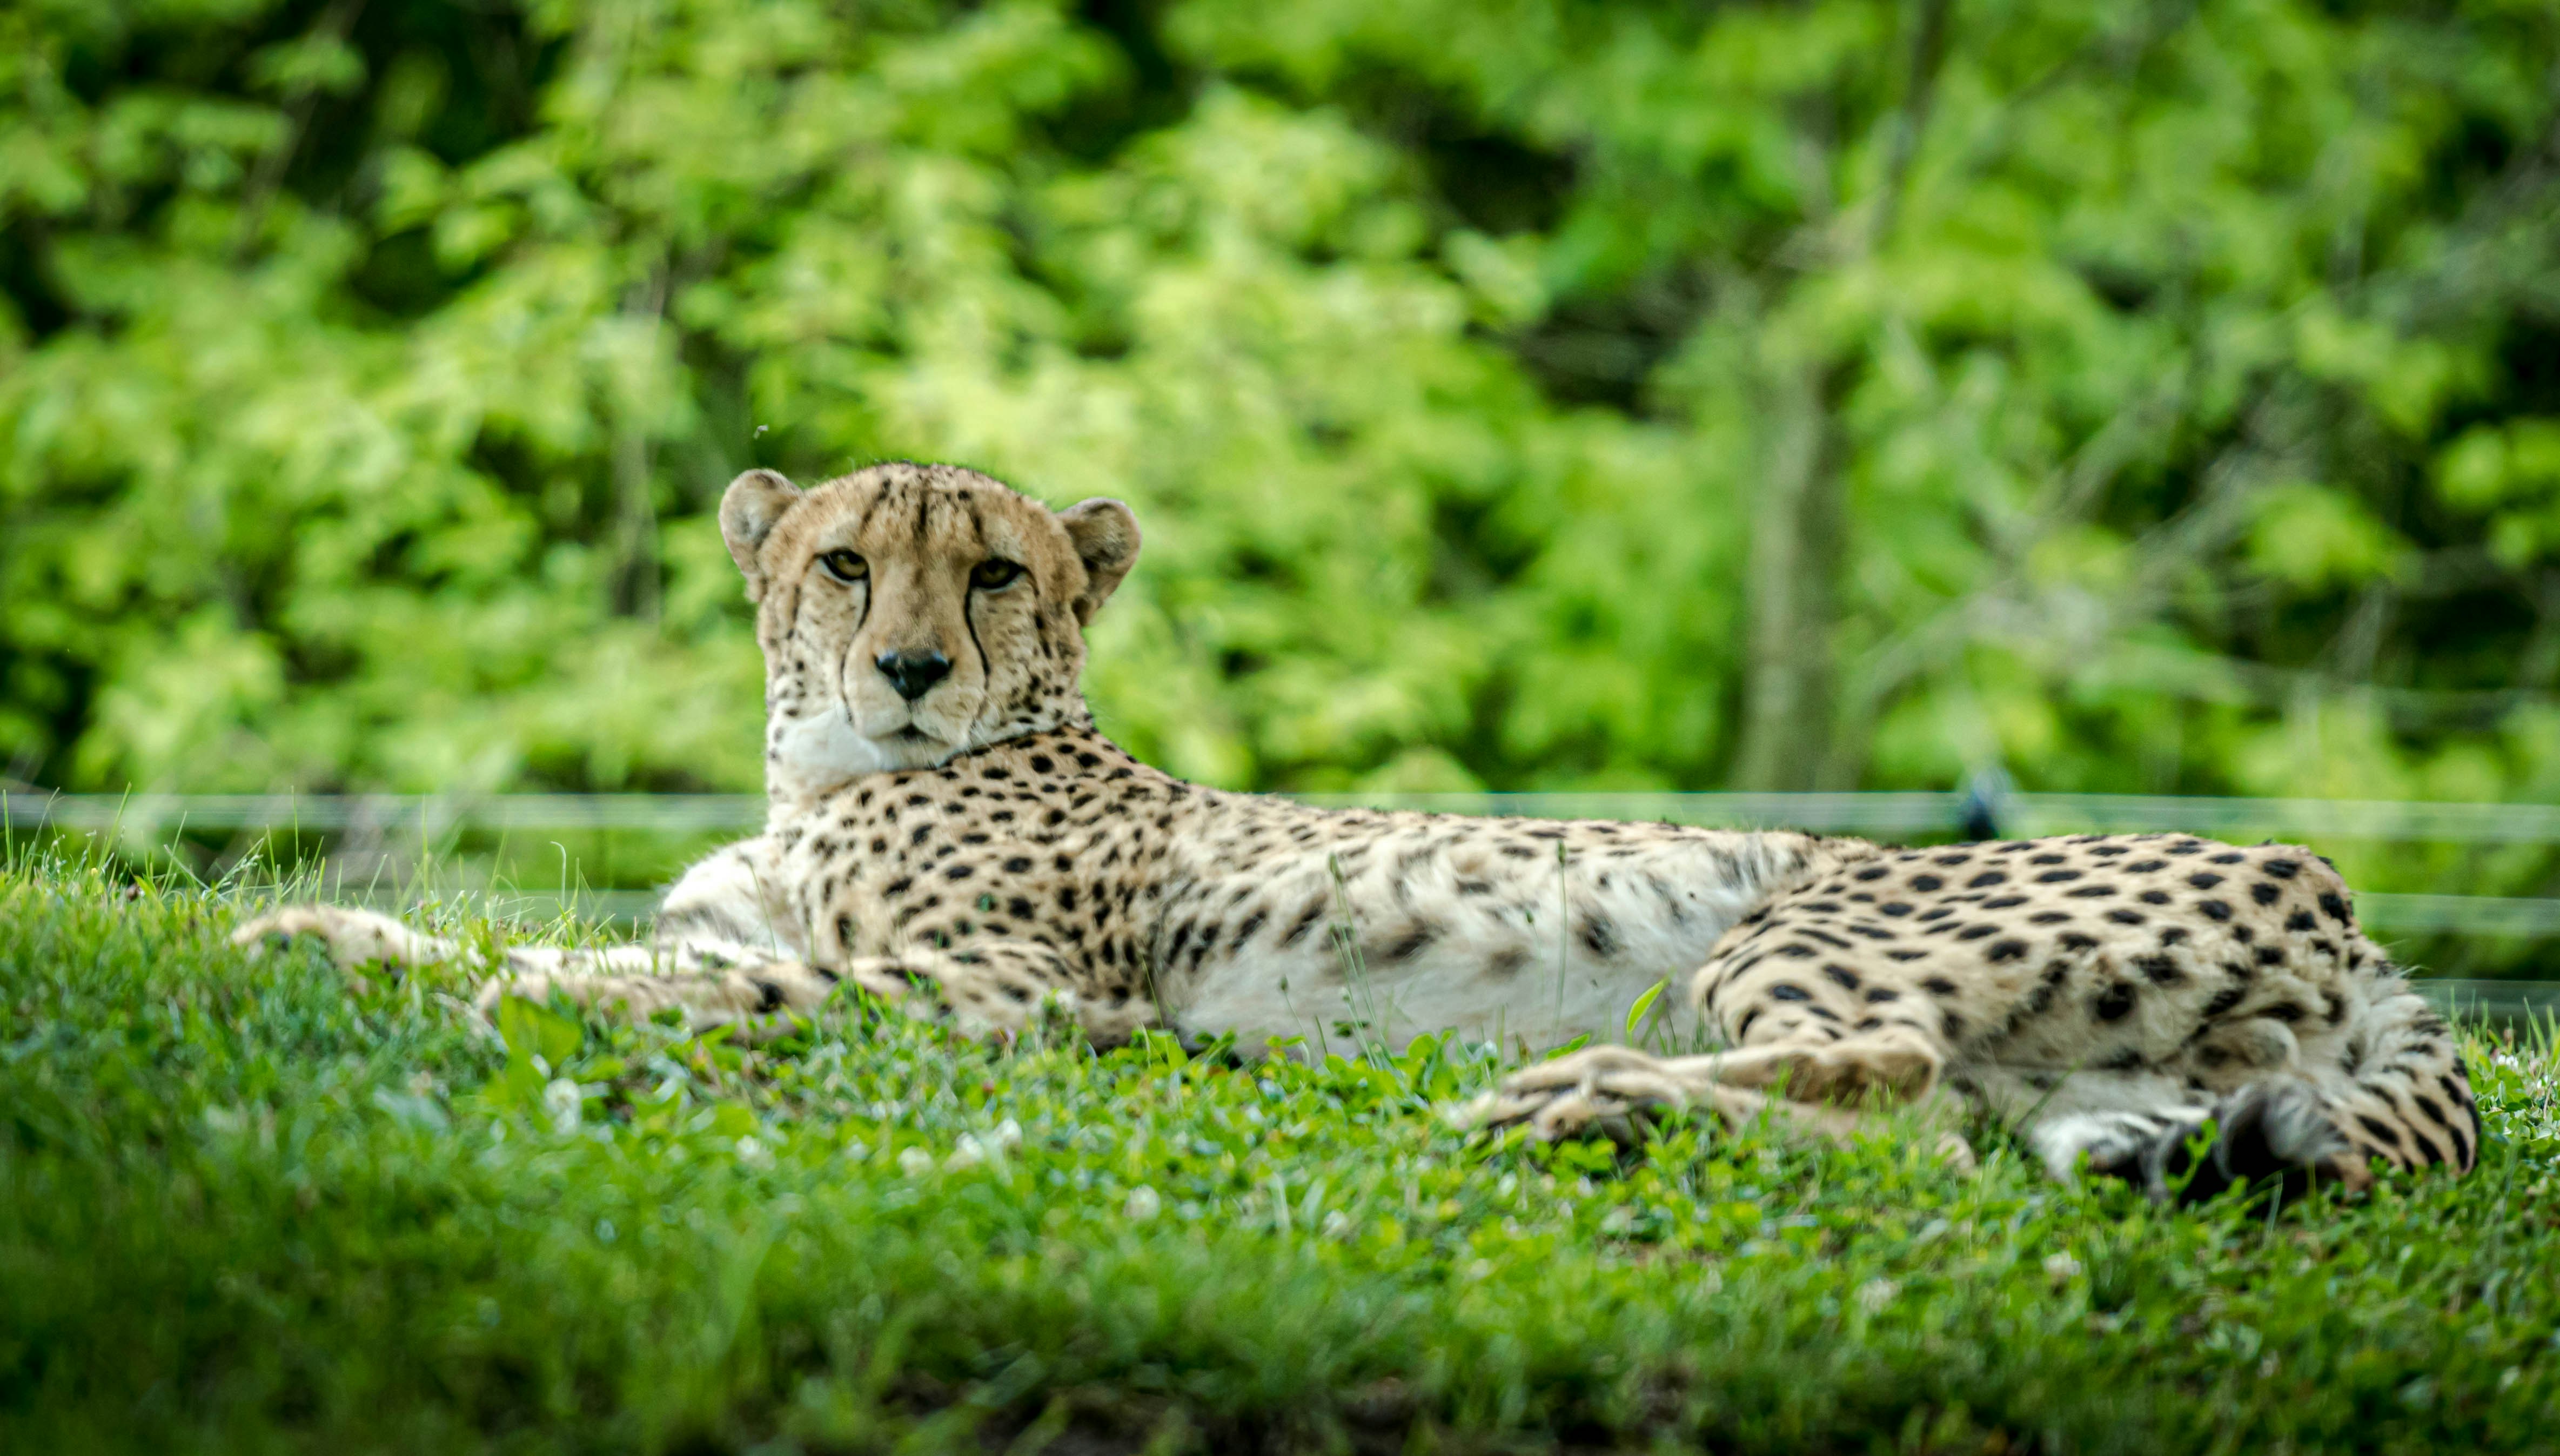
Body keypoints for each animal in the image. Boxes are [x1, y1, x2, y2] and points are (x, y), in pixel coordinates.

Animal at [235, 462, 2479, 1202]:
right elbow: (568, 943)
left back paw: (1563, 1101)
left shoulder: (1012, 1008)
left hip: (1786, 922)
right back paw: (1591, 1113)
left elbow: (680, 985)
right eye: (846, 562)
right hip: (2100, 1089)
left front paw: (474, 993)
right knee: (1942, 1133)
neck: (837, 779)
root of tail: (2342, 903)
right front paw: (312, 940)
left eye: (992, 576)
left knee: (1891, 1068)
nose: (906, 669)